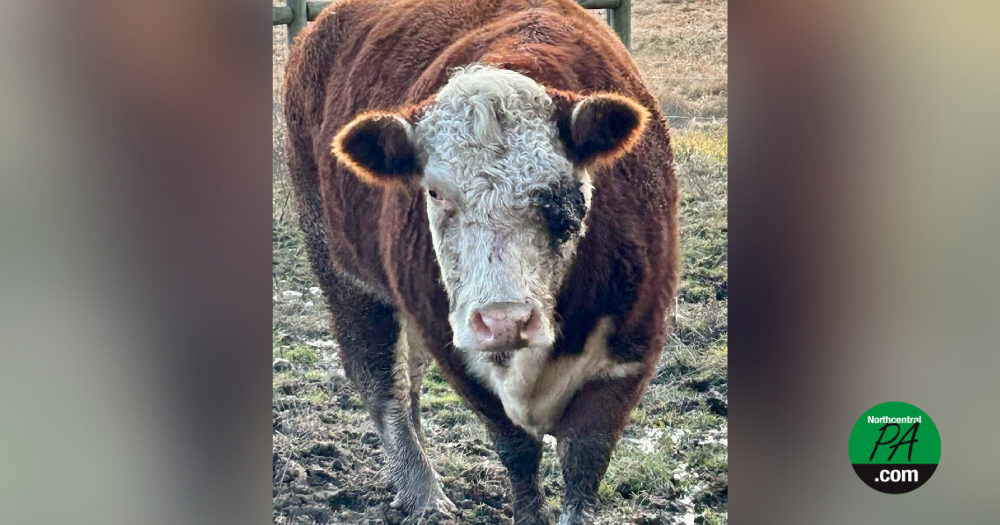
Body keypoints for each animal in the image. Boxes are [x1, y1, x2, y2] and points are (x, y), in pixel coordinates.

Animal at [282, 0, 679, 523]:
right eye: (433, 191)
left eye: (559, 188)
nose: (503, 320)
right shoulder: (456, 347)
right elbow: (516, 450)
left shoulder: (632, 350)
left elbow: (584, 461)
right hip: (342, 271)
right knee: (380, 379)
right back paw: (423, 493)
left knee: (407, 381)